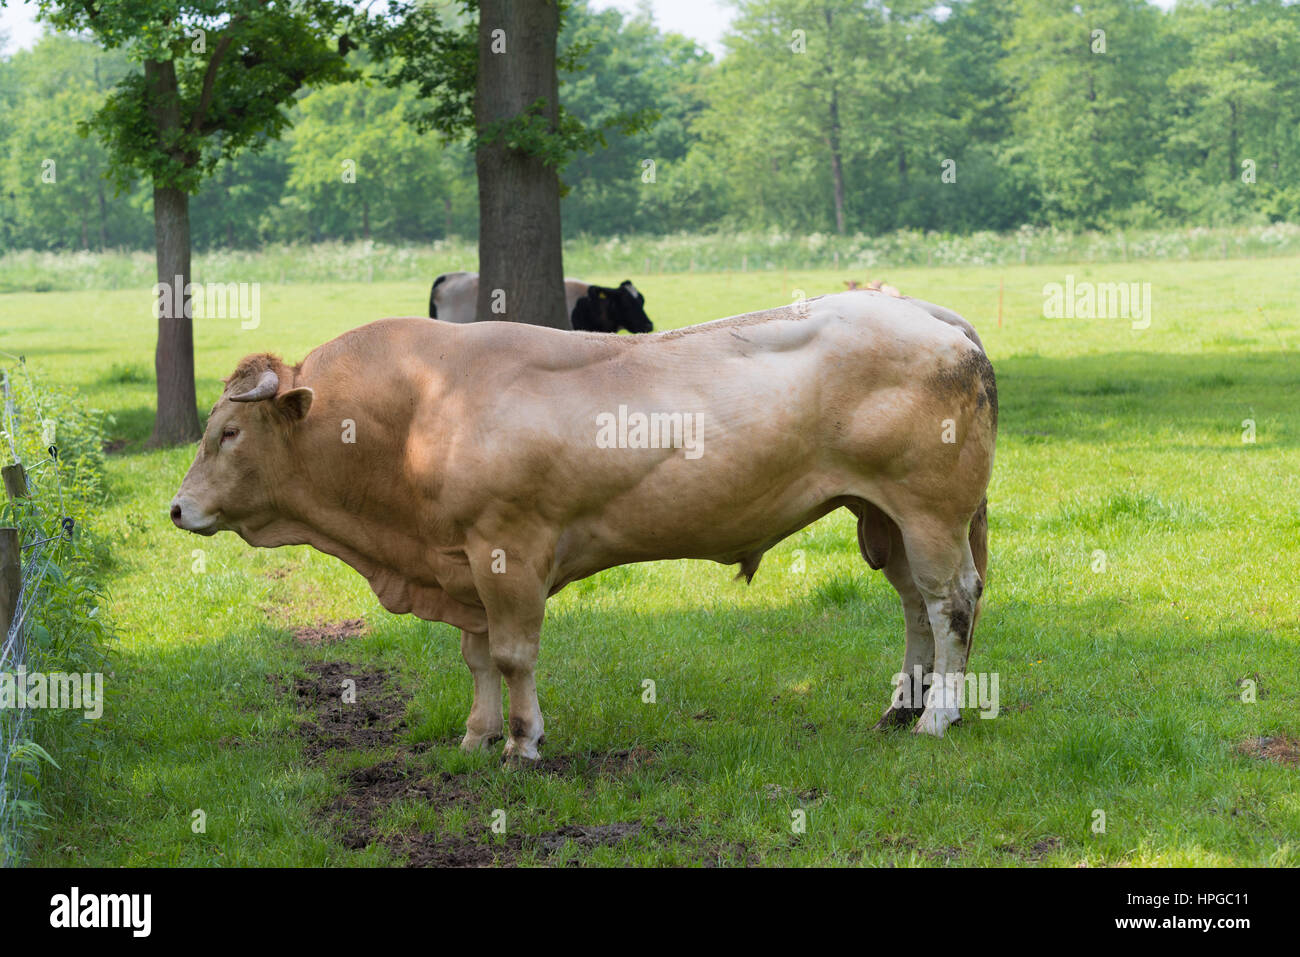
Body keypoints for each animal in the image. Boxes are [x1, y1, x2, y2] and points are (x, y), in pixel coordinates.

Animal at [170, 290, 996, 761]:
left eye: (229, 435)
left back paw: (939, 717)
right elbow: (476, 657)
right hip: (884, 516)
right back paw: (901, 706)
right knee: (914, 607)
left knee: (949, 601)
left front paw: (522, 741)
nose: (177, 508)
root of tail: (931, 314)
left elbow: (512, 656)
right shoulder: (464, 563)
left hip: (931, 512)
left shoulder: (508, 550)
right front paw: (475, 735)